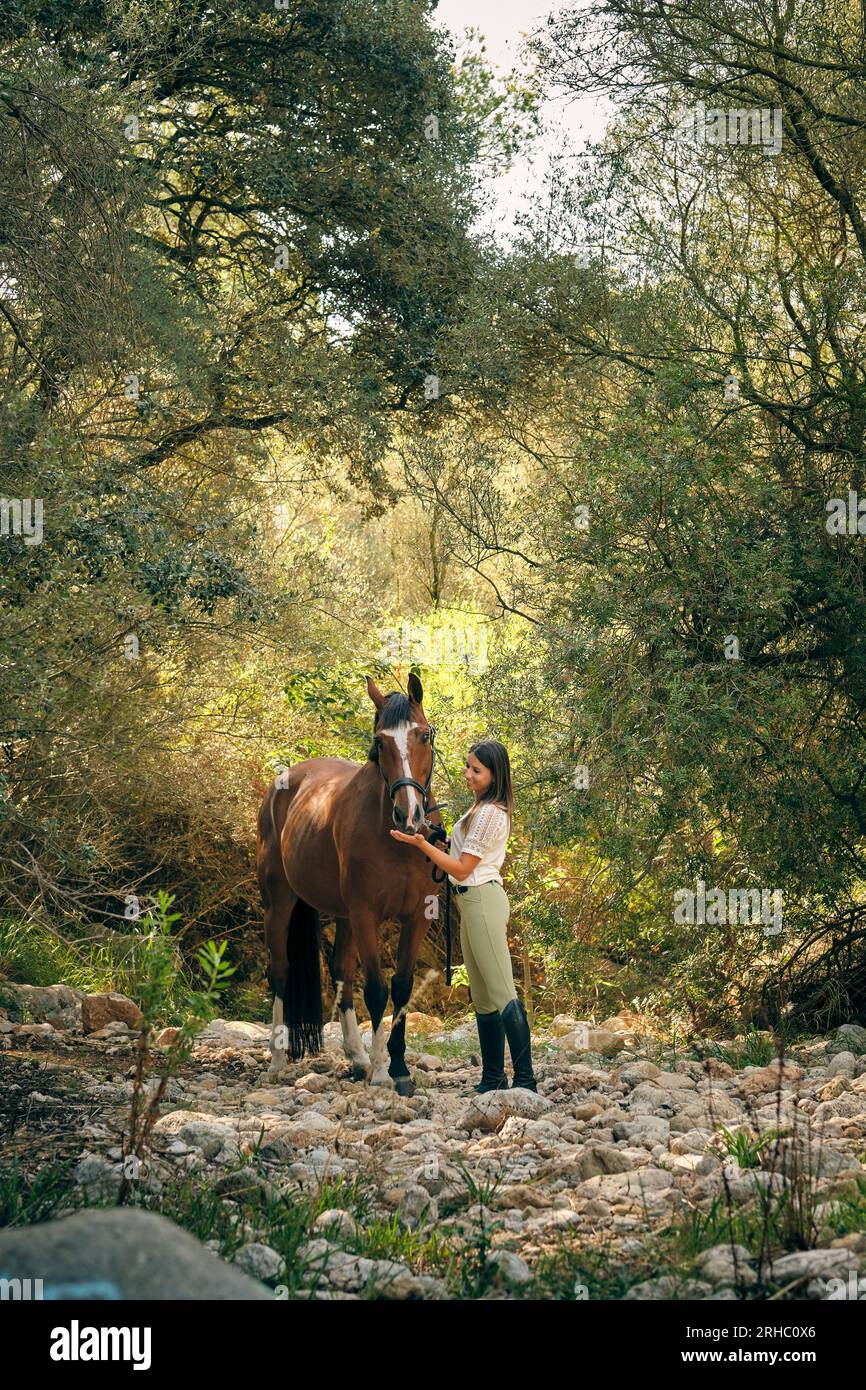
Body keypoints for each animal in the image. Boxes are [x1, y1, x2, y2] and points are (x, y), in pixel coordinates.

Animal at [255, 671, 447, 1096]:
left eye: (423, 736)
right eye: (380, 743)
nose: (409, 814)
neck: (398, 840)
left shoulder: (417, 917)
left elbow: (401, 986)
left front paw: (398, 1068)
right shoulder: (365, 914)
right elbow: (375, 990)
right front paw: (381, 1072)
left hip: (342, 915)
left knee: (341, 972)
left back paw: (356, 1057)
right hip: (279, 904)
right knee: (280, 971)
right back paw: (278, 1060)